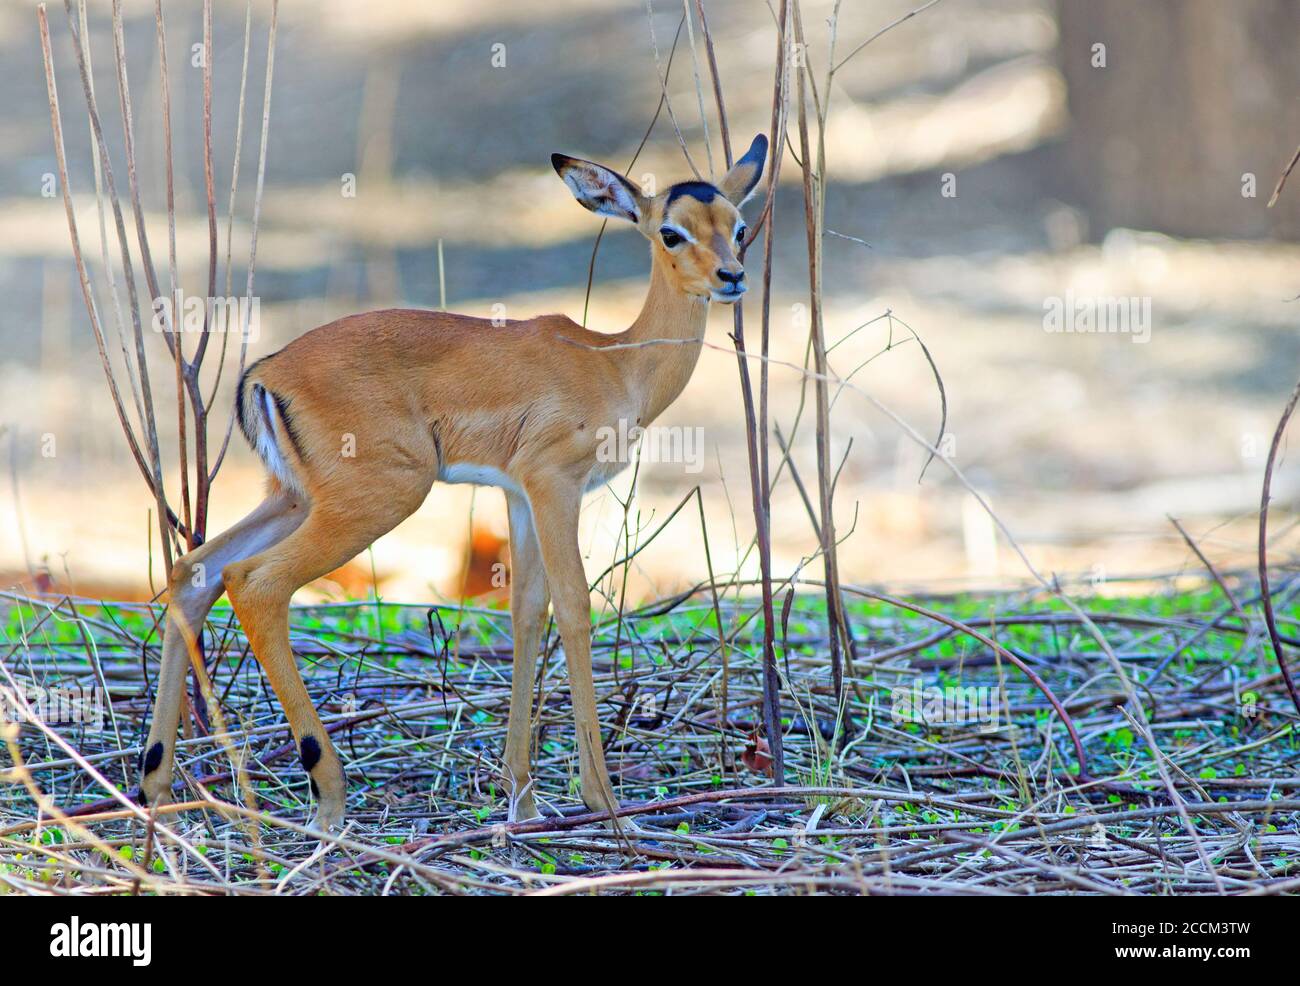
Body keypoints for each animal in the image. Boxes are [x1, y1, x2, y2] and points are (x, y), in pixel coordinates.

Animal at [137, 134, 769, 830]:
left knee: (194, 571)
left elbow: (526, 612)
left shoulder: (517, 495)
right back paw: (328, 793)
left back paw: (157, 787)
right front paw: (602, 801)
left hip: (294, 499)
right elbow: (576, 609)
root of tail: (265, 373)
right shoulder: (554, 484)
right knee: (255, 583)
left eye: (738, 226)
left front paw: (521, 796)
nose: (732, 276)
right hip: (378, 499)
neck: (617, 365)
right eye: (671, 232)